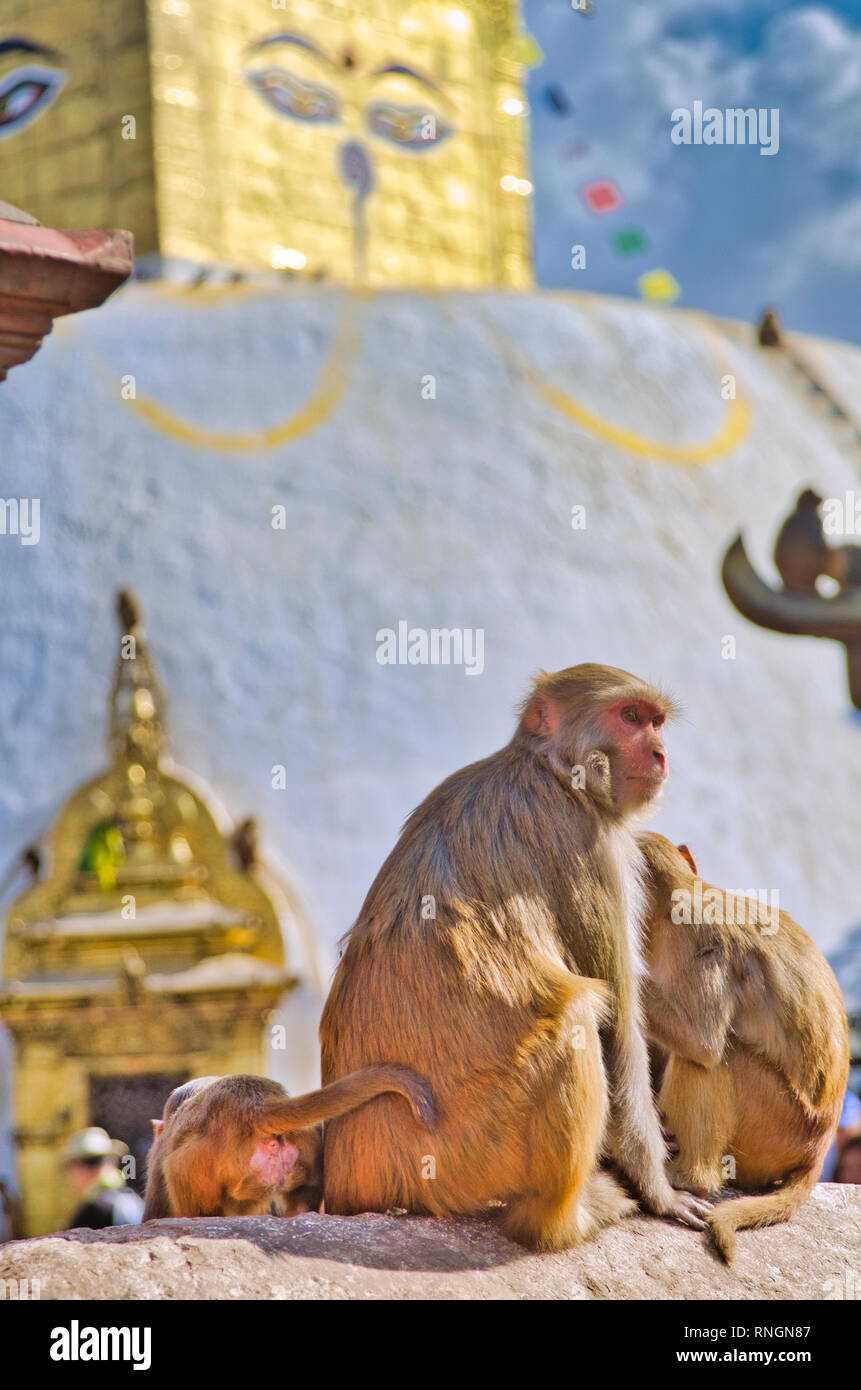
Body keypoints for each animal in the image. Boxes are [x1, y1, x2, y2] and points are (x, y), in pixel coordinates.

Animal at [319, 664, 712, 1251]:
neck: (552, 770)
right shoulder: (590, 846)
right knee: (577, 1017)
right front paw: (659, 1191)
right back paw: (563, 1219)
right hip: (466, 1154)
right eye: (630, 717)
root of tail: (352, 1170)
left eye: (656, 722)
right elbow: (618, 1028)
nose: (661, 753)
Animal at [638, 832, 849, 1262]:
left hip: (780, 1125)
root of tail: (819, 1147)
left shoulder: (701, 943)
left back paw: (686, 1178)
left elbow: (701, 1041)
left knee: (718, 1058)